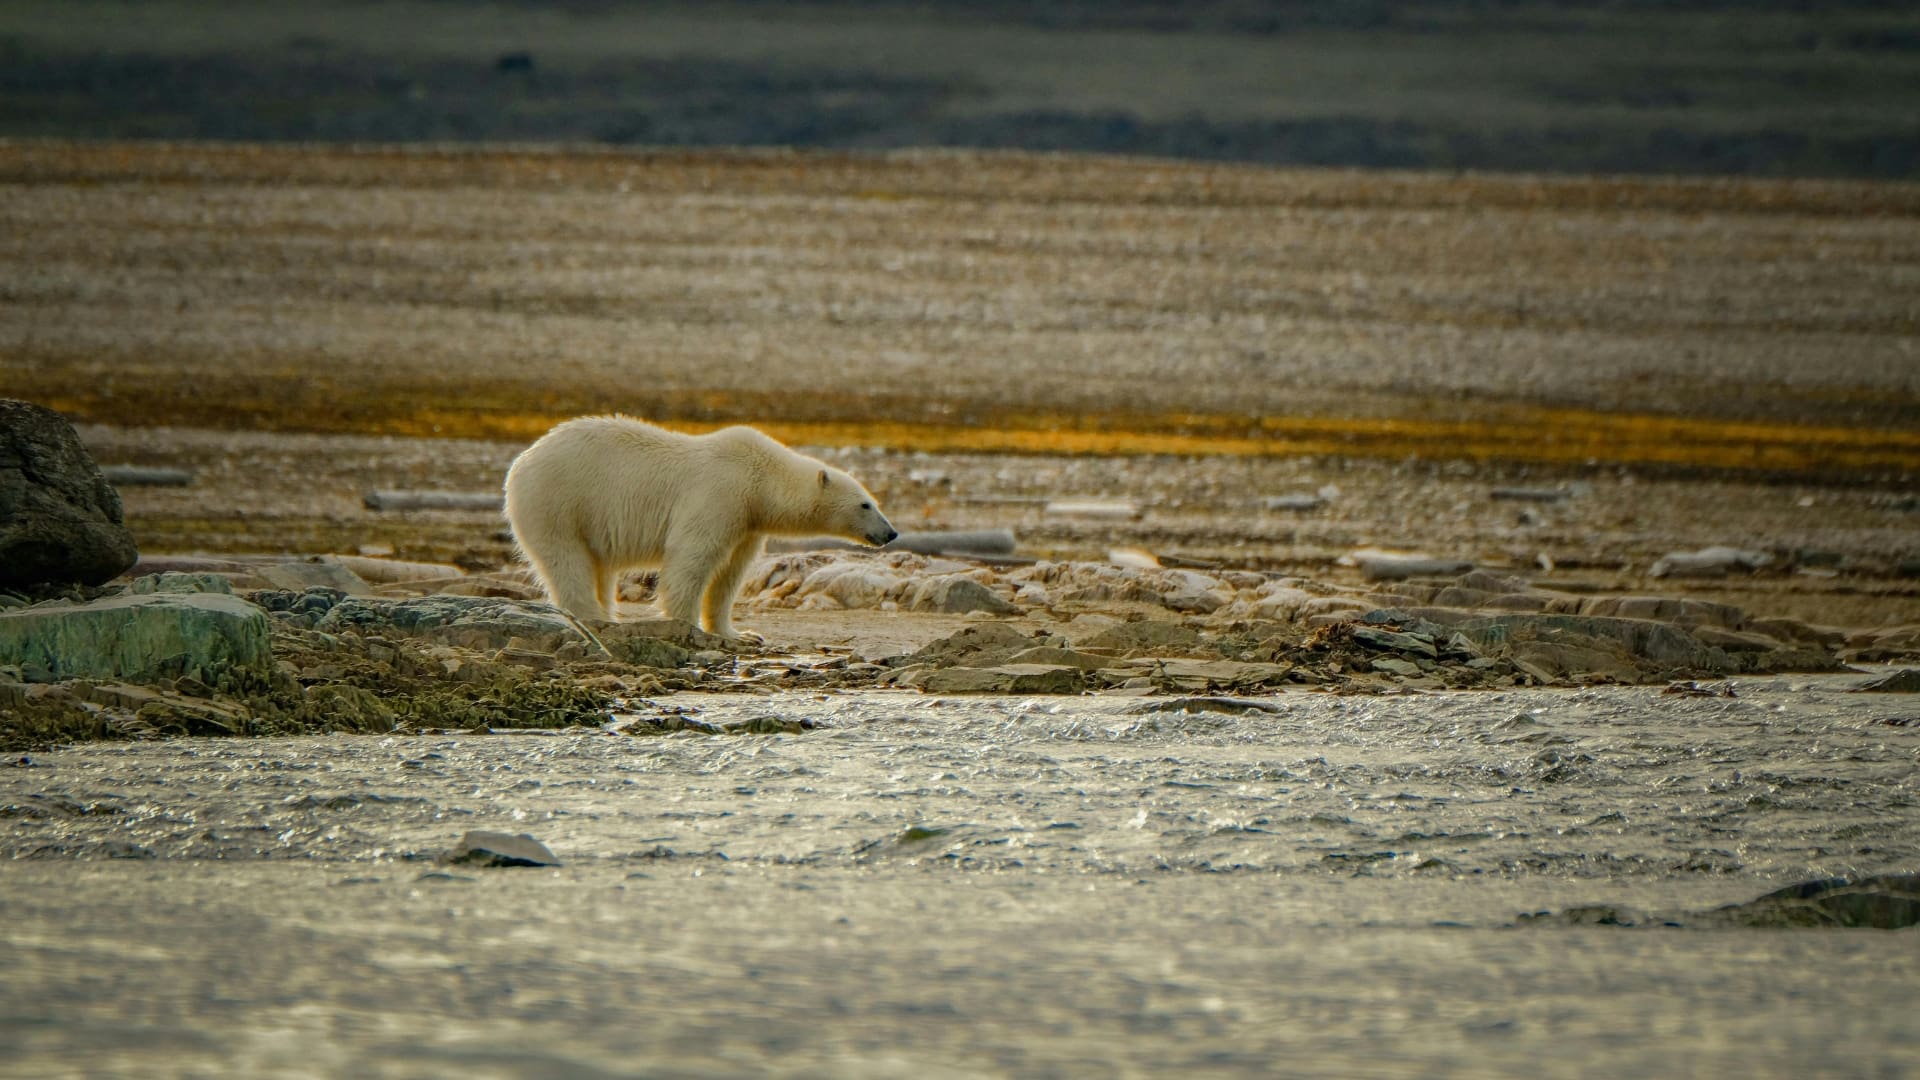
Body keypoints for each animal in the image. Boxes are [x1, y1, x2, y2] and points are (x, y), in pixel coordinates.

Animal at [503, 415, 896, 638]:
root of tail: (520, 463)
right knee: (567, 561)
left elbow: (730, 574)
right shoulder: (719, 495)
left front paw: (739, 634)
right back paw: (594, 618)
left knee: (598, 567)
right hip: (559, 503)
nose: (891, 533)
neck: (760, 479)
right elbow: (691, 559)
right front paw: (685, 625)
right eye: (866, 504)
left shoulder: (747, 522)